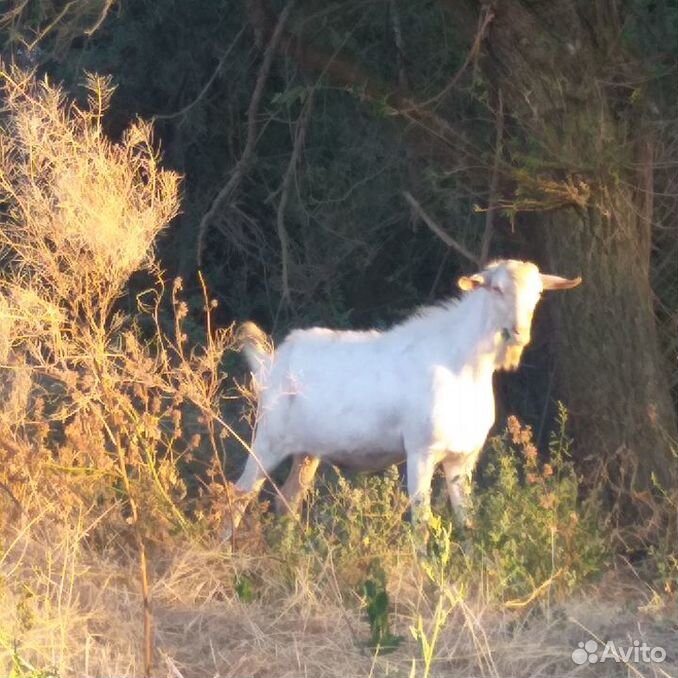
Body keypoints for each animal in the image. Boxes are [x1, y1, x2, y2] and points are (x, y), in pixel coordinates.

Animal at [231, 260, 580, 532]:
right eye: (496, 289)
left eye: (538, 293)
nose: (519, 332)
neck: (463, 367)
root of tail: (270, 365)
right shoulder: (421, 451)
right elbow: (422, 522)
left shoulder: (463, 456)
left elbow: (466, 520)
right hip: (269, 437)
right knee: (240, 493)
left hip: (307, 451)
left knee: (287, 500)